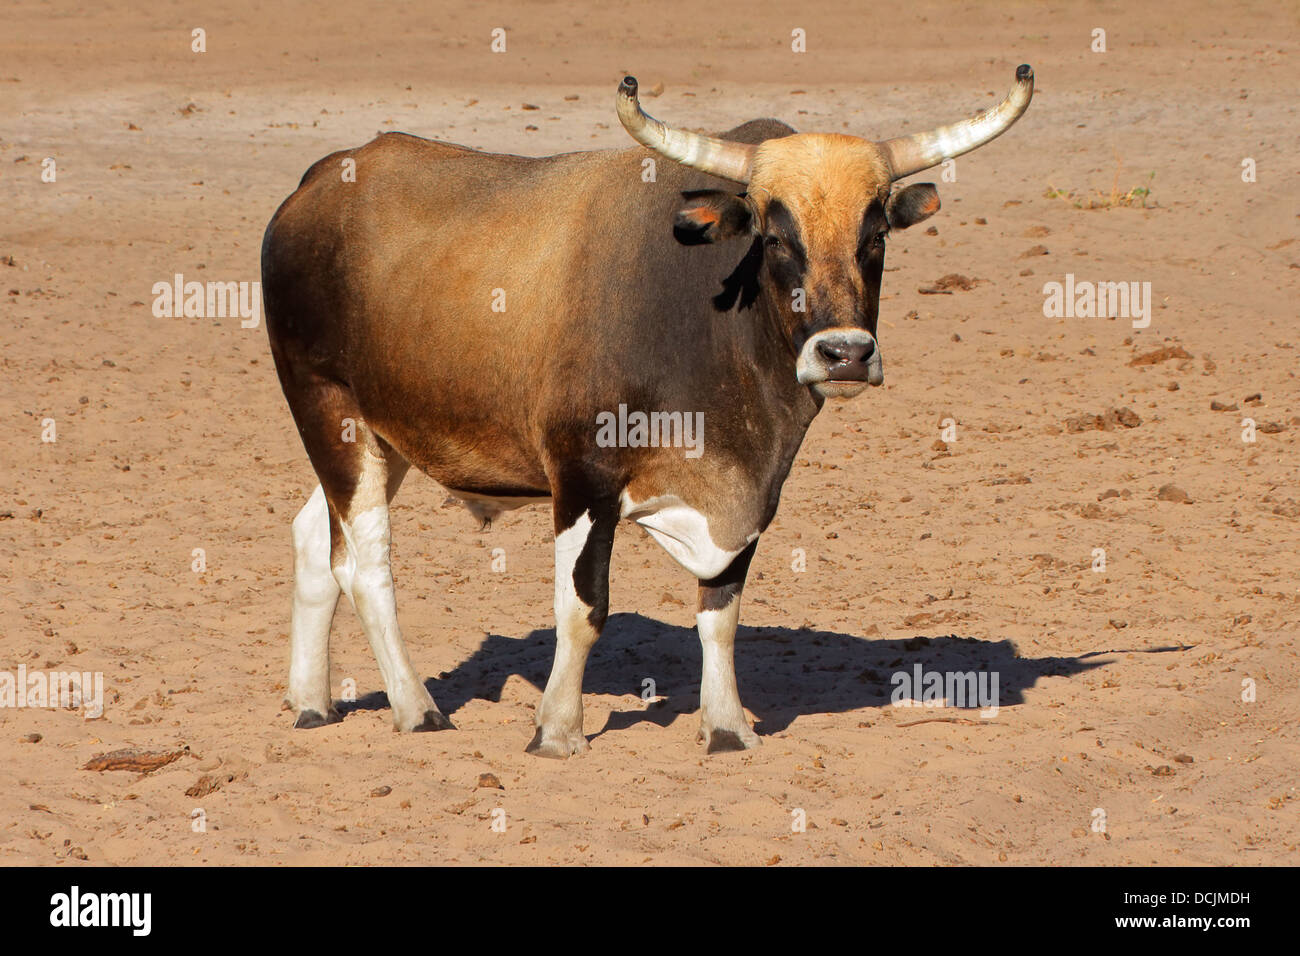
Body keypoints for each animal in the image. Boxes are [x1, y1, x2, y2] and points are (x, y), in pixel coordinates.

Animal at [261, 66, 1034, 756]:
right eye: (775, 236)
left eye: (875, 235)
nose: (843, 352)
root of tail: (321, 180)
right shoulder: (583, 479)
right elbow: (582, 608)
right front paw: (557, 729)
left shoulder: (747, 494)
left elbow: (721, 613)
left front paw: (726, 727)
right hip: (330, 414)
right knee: (366, 565)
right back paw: (416, 708)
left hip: (382, 438)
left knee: (313, 540)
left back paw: (311, 701)